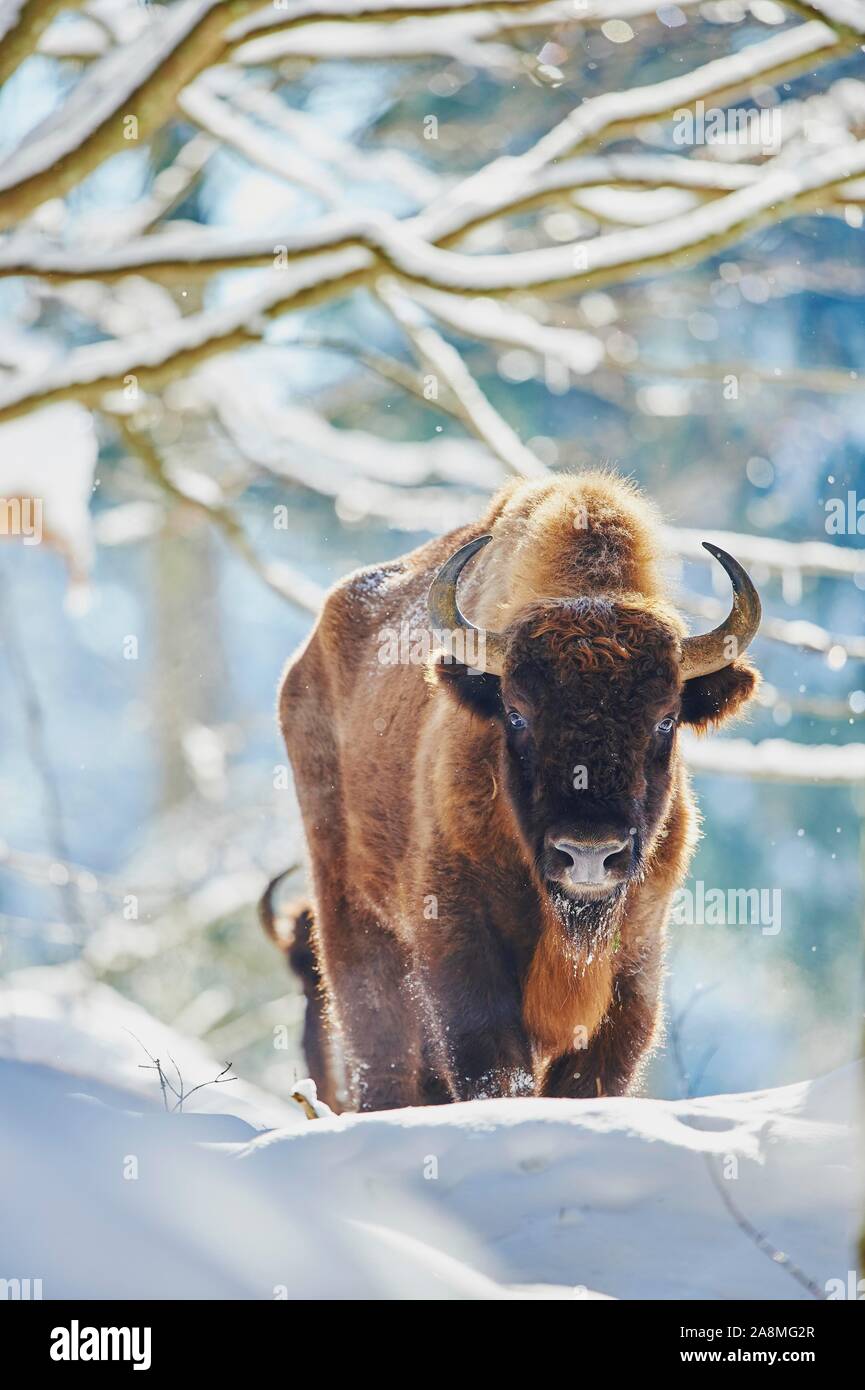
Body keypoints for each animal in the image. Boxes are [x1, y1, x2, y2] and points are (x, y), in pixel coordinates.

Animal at [265, 473, 761, 1111]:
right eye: (517, 714)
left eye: (666, 720)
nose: (589, 853)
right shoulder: (461, 948)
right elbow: (494, 1066)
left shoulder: (635, 962)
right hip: (350, 912)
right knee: (383, 1054)